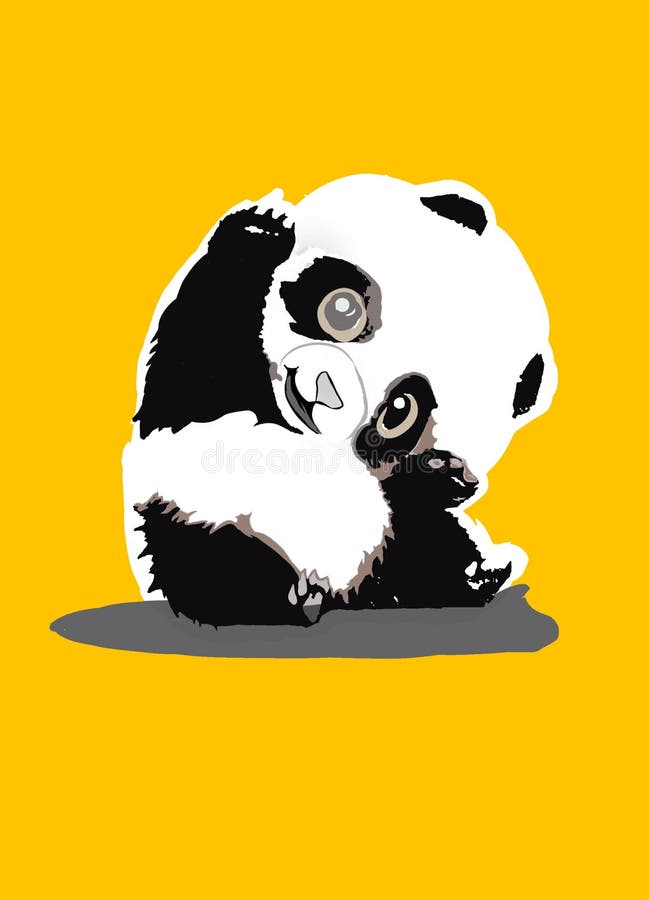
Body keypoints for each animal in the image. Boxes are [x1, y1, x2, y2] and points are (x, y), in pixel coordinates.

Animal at [122, 174, 557, 627]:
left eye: (399, 411)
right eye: (343, 308)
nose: (325, 391)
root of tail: (325, 582)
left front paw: (449, 477)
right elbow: (189, 367)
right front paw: (262, 227)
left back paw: (480, 573)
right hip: (199, 516)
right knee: (212, 564)